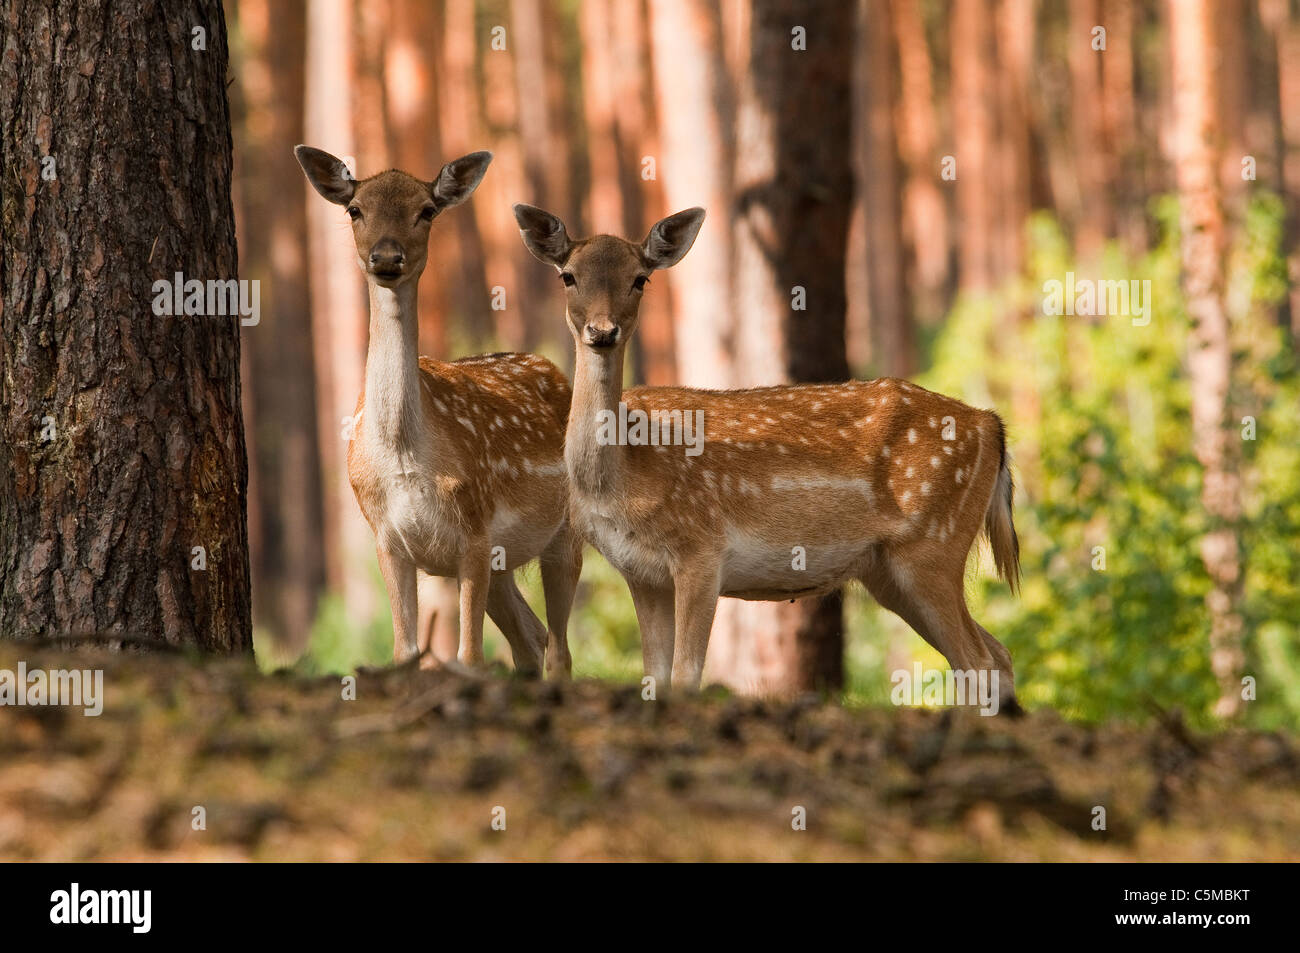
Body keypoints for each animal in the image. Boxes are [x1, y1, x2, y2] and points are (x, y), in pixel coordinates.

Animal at [295, 146, 581, 679]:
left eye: (426, 210)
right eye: (355, 209)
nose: (387, 256)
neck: (407, 458)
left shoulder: (474, 532)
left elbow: (469, 657)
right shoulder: (388, 540)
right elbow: (404, 652)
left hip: (566, 531)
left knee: (558, 648)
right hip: (504, 565)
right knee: (530, 639)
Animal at [513, 203, 1023, 711]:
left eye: (641, 278)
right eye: (568, 276)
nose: (603, 332)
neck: (625, 479)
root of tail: (991, 426)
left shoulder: (702, 549)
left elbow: (685, 675)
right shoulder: (643, 575)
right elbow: (654, 677)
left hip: (934, 545)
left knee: (977, 660)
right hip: (889, 571)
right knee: (995, 655)